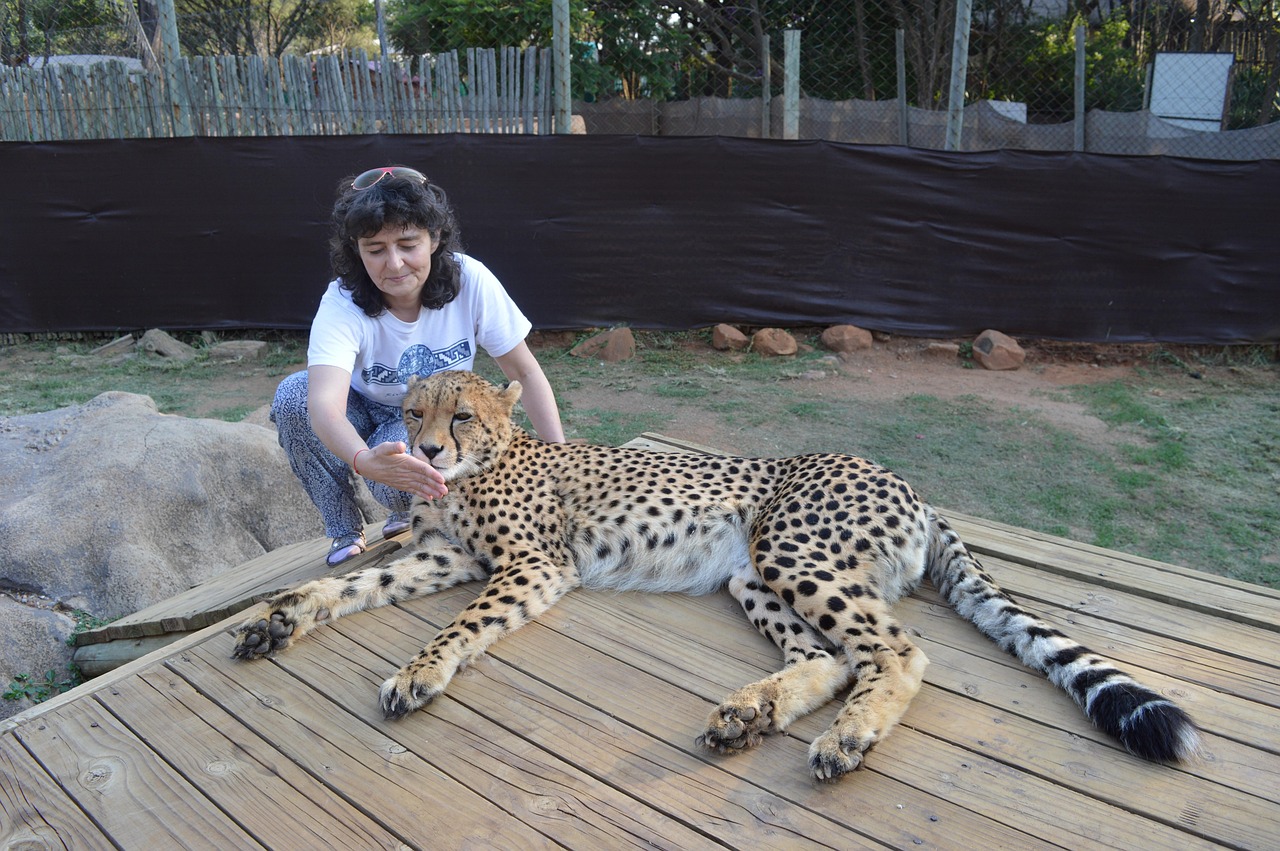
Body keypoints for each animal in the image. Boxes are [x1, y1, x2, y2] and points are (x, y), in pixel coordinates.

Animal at [234, 370, 1200, 781]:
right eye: (413, 412)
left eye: (461, 415)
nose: (427, 450)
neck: (486, 461)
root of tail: (905, 480)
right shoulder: (450, 555)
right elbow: (347, 589)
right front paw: (278, 617)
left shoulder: (535, 564)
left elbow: (461, 624)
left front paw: (420, 670)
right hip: (753, 574)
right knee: (832, 656)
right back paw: (750, 713)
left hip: (795, 551)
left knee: (898, 649)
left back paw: (847, 737)